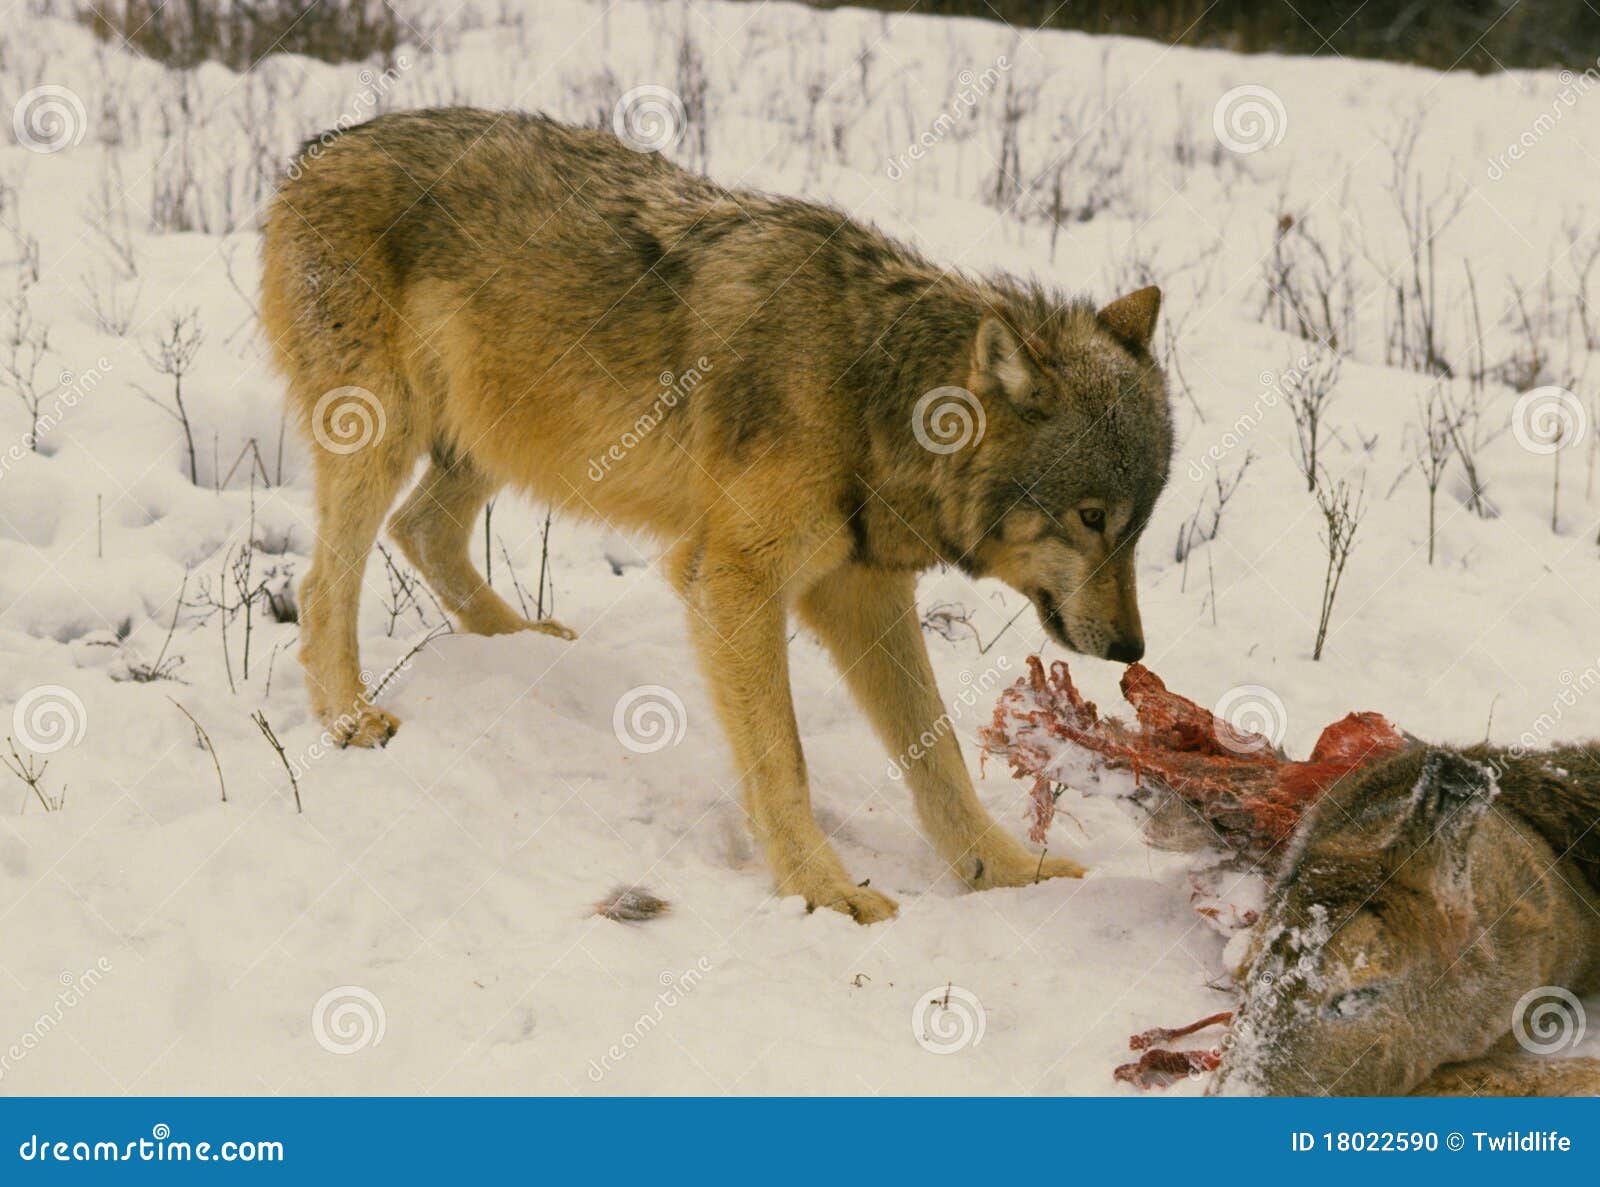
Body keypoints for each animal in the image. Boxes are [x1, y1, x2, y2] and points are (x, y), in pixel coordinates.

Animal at [260, 108, 1173, 923]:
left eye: (1137, 525)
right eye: (1090, 516)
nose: (1132, 649)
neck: (868, 392)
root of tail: (318, 148)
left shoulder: (864, 591)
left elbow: (938, 752)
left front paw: (1010, 872)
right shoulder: (734, 582)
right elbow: (785, 758)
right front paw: (823, 889)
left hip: (491, 437)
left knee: (422, 529)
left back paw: (527, 642)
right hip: (386, 433)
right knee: (322, 583)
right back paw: (350, 717)